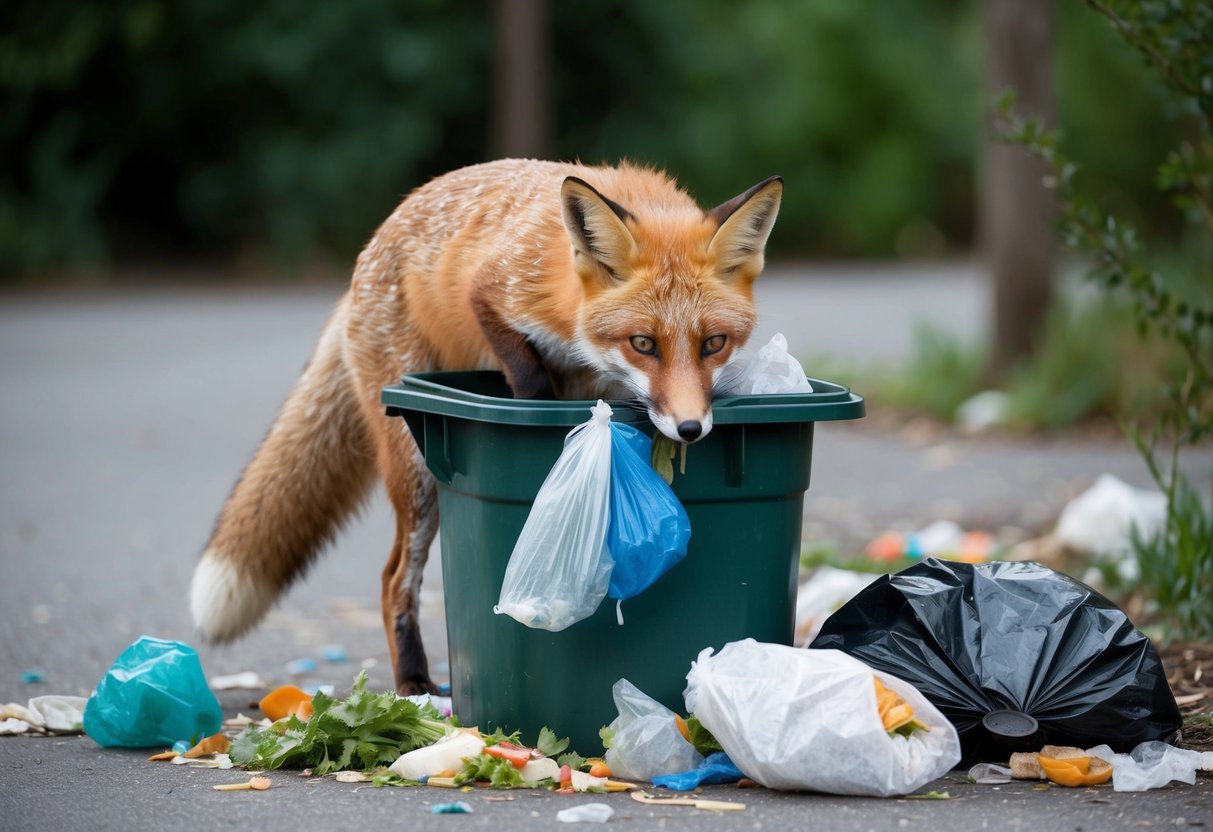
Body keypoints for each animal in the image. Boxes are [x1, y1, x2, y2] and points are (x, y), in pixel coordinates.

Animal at [189, 159, 783, 695]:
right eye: (643, 343)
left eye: (713, 344)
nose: (689, 429)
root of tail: (366, 255)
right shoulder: (494, 291)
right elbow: (526, 372)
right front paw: (537, 417)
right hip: (416, 477)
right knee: (393, 579)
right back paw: (414, 681)